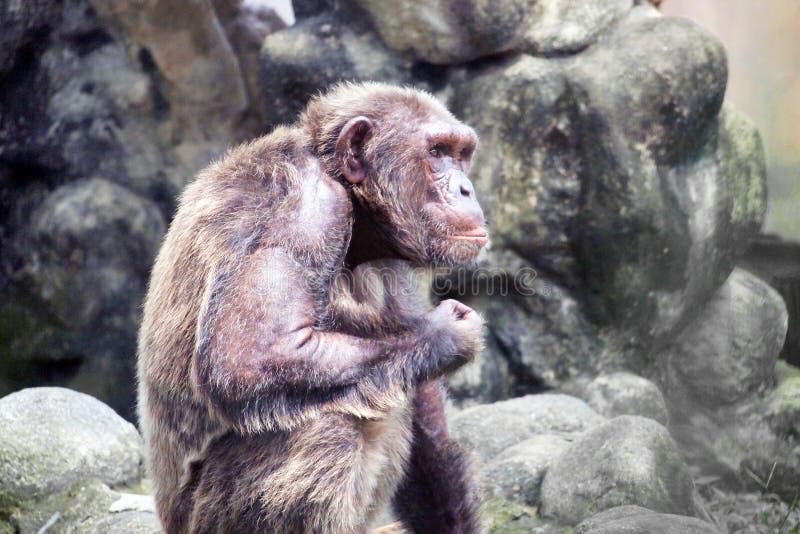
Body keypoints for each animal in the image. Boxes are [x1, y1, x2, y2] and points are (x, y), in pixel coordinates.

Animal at [137, 82, 488, 533]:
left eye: (461, 153)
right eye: (436, 152)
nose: (465, 188)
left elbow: (427, 416)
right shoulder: (303, 210)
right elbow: (246, 358)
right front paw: (447, 332)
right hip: (210, 518)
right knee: (329, 425)